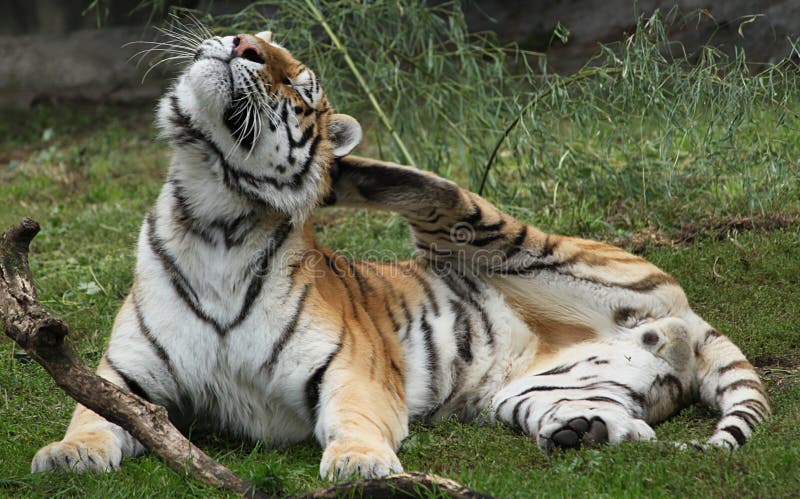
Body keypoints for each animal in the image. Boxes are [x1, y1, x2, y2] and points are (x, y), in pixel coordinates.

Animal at [31, 29, 768, 481]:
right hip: (541, 391)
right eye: (256, 36)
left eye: (301, 86)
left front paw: (360, 463)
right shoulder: (127, 375)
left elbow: (355, 415)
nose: (242, 43)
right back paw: (584, 432)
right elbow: (93, 412)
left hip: (508, 244)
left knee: (448, 201)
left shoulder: (350, 365)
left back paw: (348, 174)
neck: (213, 213)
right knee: (634, 431)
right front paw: (67, 453)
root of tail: (689, 314)